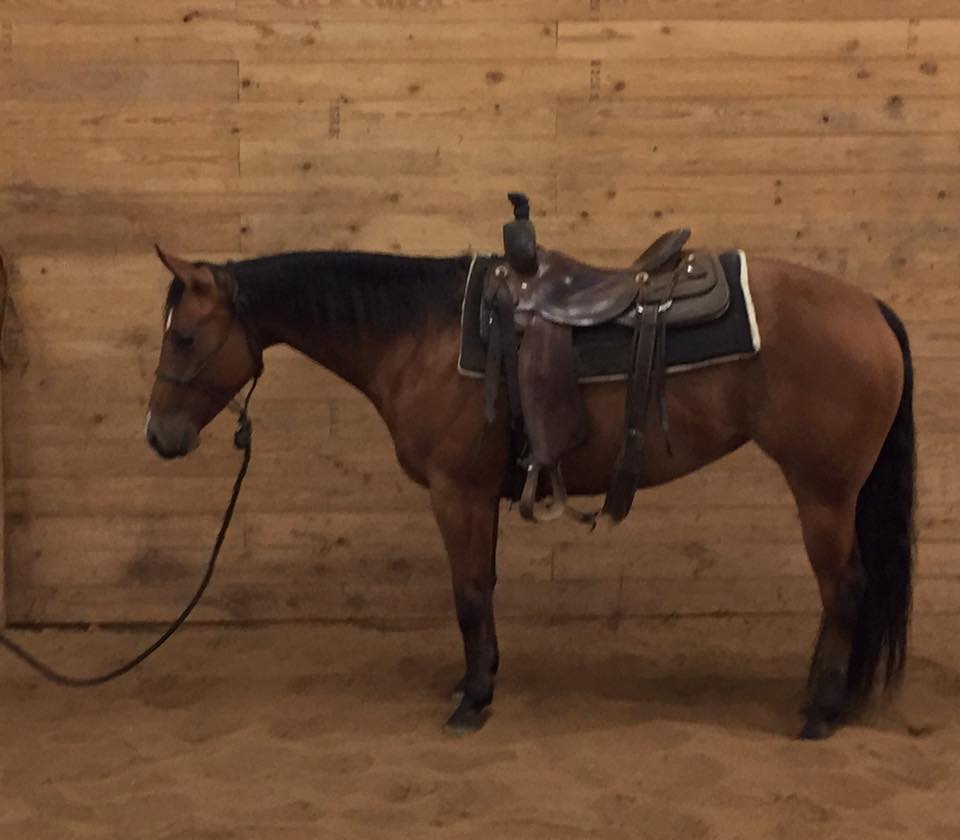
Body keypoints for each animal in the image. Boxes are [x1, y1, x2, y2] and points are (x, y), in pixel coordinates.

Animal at [146, 242, 915, 740]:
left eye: (183, 338)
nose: (158, 436)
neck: (422, 334)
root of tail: (869, 307)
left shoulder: (455, 491)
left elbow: (466, 594)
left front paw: (471, 704)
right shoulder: (480, 494)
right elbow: (483, 588)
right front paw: (477, 682)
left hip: (823, 492)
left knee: (845, 588)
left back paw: (821, 713)